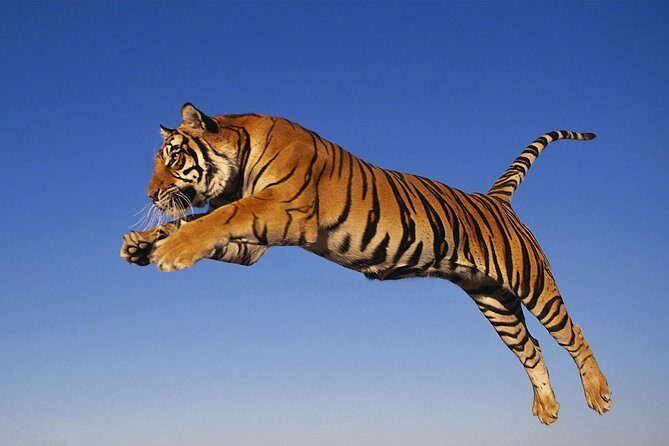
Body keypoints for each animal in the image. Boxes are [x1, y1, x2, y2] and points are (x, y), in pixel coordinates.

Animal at [120, 103, 611, 424]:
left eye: (174, 158)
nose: (150, 194)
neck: (239, 165)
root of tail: (495, 198)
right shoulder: (253, 245)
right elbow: (192, 221)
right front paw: (140, 244)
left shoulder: (281, 209)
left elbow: (215, 218)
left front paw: (170, 251)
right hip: (493, 300)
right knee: (531, 348)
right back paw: (547, 409)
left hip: (532, 282)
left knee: (572, 332)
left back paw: (599, 394)